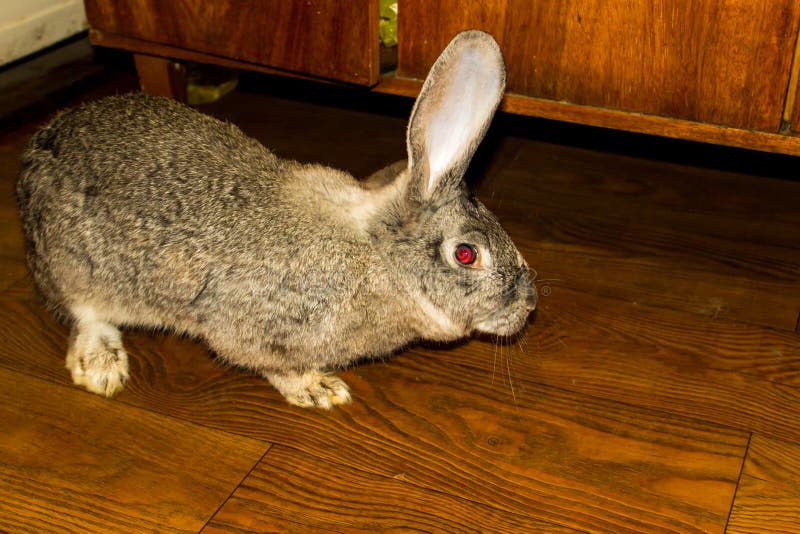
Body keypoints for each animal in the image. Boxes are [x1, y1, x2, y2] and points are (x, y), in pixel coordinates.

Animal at [16, 30, 537, 408]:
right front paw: (317, 388)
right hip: (76, 270)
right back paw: (102, 367)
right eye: (466, 255)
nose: (528, 306)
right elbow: (269, 363)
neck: (379, 257)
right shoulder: (250, 327)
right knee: (83, 314)